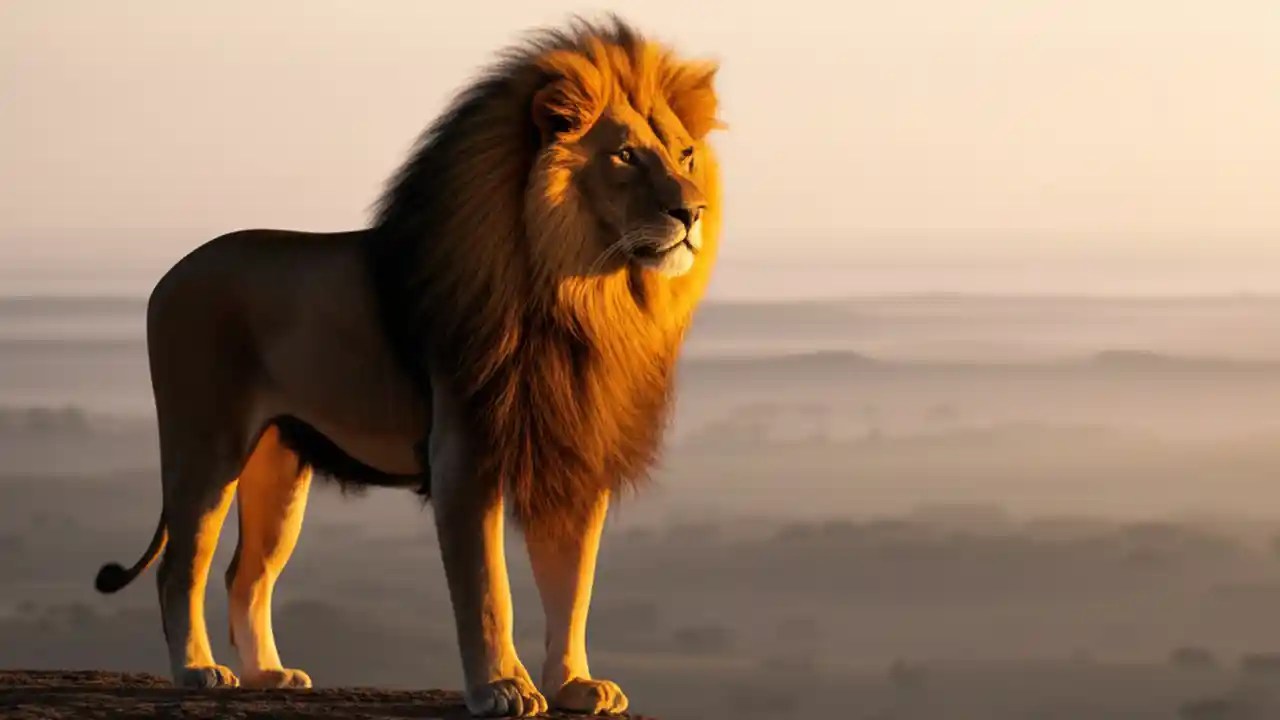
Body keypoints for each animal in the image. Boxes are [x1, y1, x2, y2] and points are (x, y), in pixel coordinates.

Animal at [92, 17, 722, 718]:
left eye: (685, 156)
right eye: (626, 157)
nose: (692, 212)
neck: (582, 293)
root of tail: (168, 276)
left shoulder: (574, 460)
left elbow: (572, 584)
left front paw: (574, 685)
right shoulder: (464, 457)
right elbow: (488, 591)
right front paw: (502, 688)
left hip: (279, 466)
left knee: (246, 572)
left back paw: (267, 675)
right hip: (206, 444)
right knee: (181, 566)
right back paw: (198, 671)